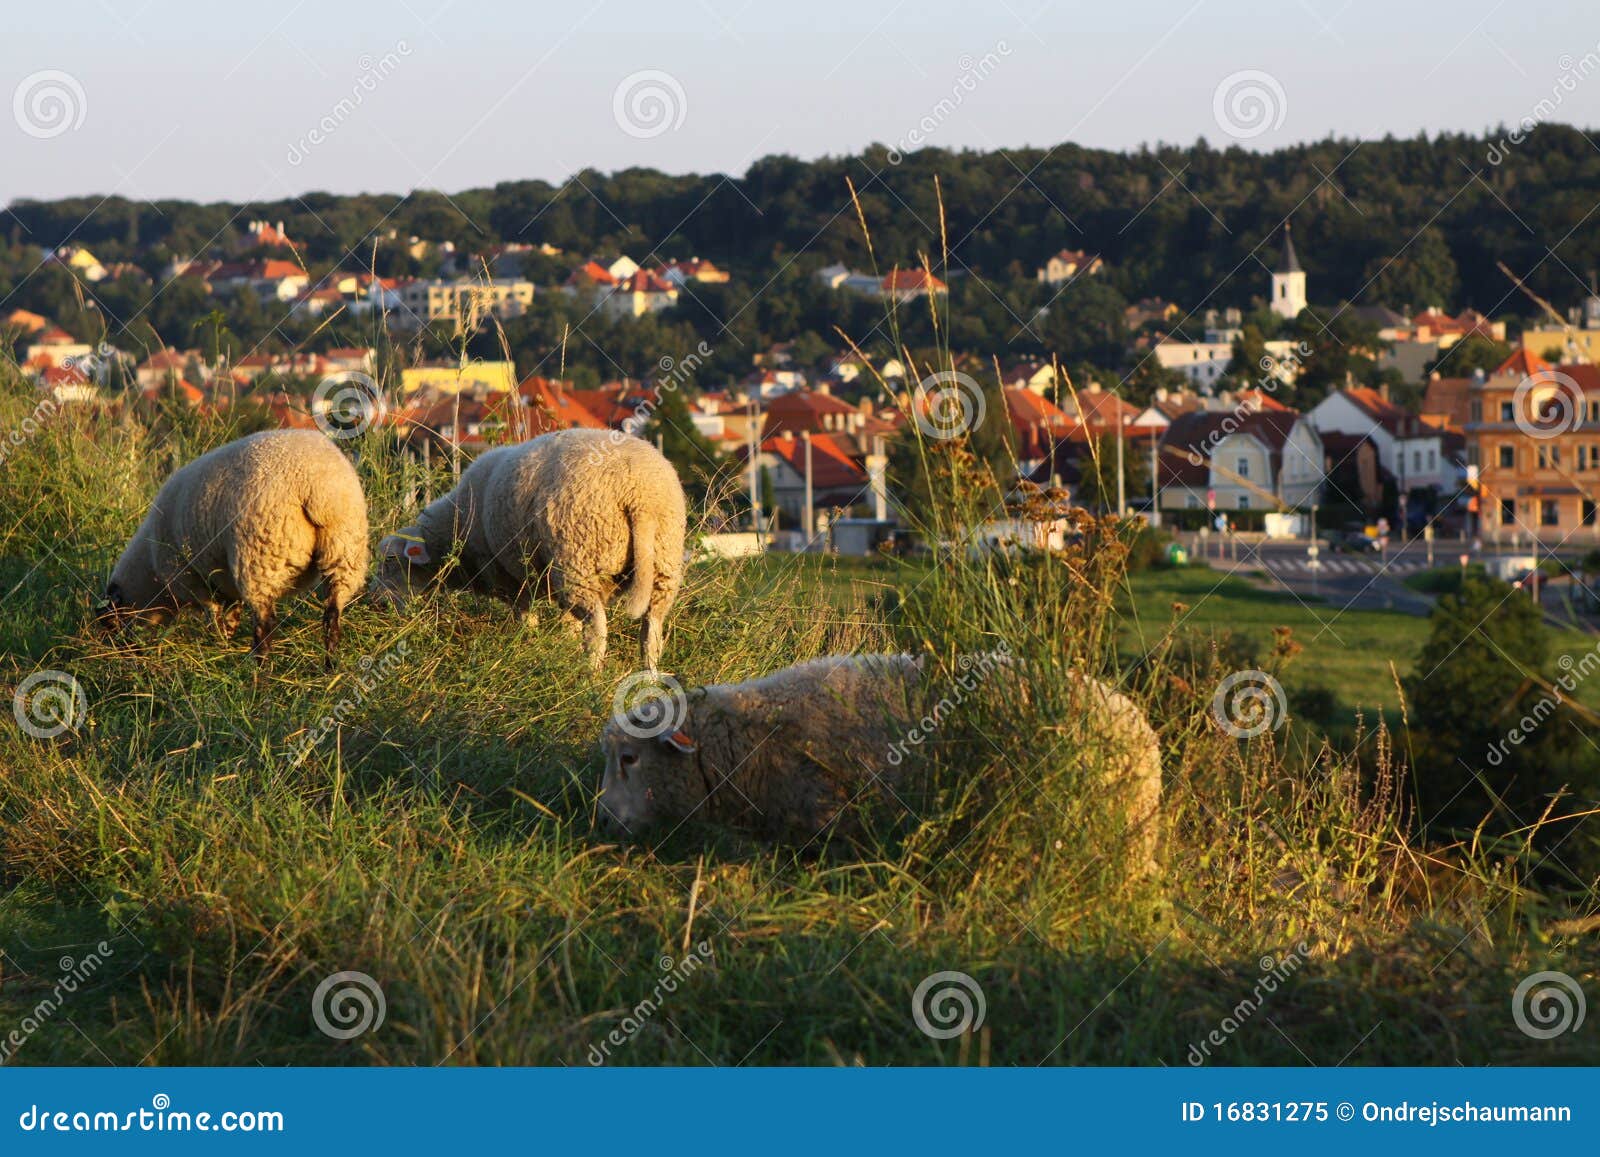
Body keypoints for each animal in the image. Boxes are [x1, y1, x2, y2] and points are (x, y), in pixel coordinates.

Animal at [98, 429, 369, 670]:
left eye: (112, 625)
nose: (125, 656)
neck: (150, 570)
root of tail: (317, 488)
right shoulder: (225, 586)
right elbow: (229, 618)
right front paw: (225, 645)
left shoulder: (190, 579)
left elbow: (215, 617)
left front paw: (219, 648)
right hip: (344, 552)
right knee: (332, 617)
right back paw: (329, 668)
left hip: (261, 557)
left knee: (265, 626)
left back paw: (259, 675)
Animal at [371, 428, 687, 670]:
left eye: (390, 562)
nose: (376, 602)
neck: (455, 525)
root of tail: (641, 496)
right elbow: (568, 625)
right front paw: (563, 649)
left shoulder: (510, 579)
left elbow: (526, 618)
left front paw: (529, 647)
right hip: (663, 563)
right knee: (651, 631)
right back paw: (650, 677)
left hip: (577, 561)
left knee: (597, 629)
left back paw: (591, 676)